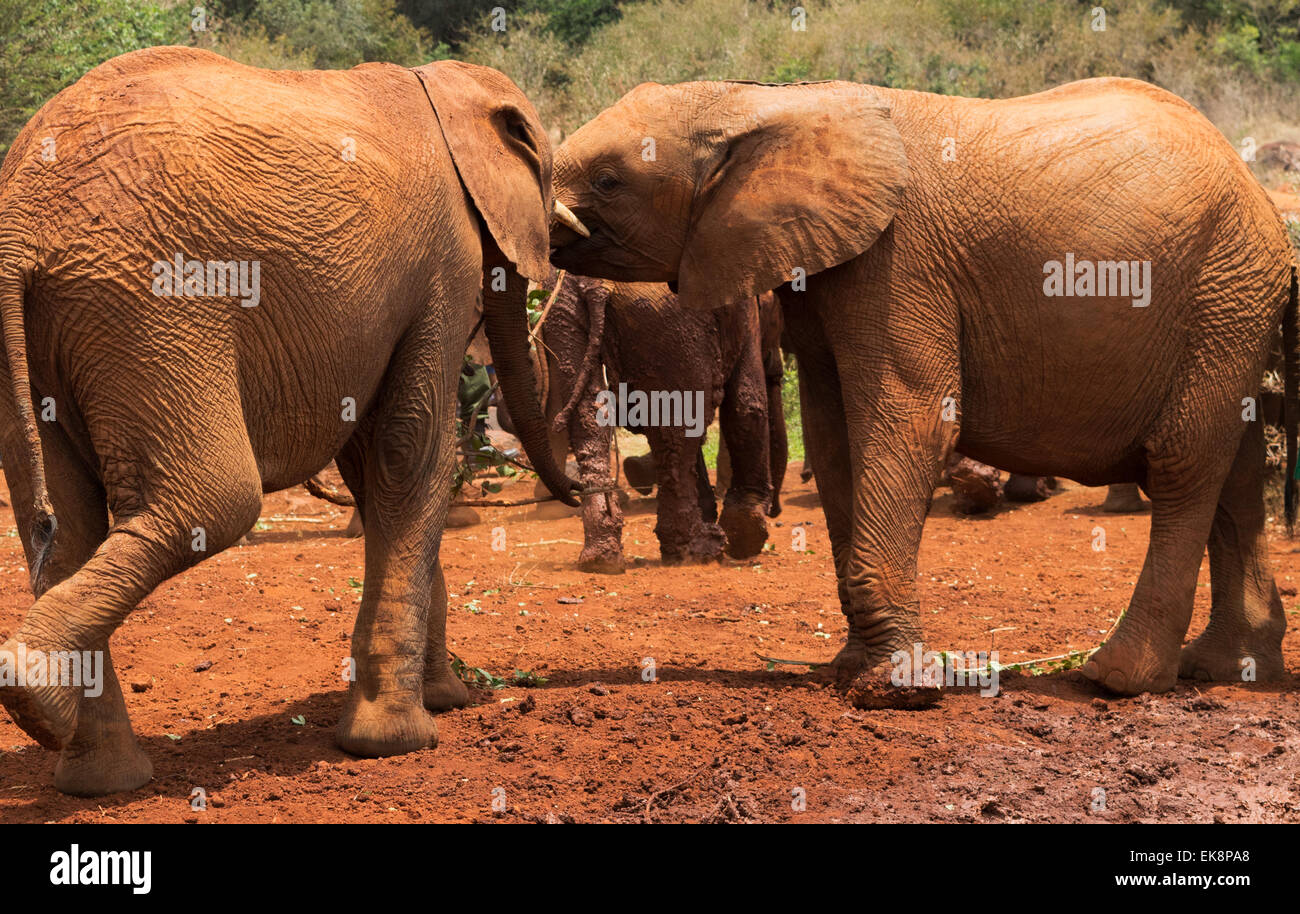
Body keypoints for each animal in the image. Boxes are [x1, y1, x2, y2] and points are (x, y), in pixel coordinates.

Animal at [0, 47, 581, 796]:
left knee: (63, 530)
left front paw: (441, 700)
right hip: (150, 300)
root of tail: (21, 226)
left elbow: (375, 465)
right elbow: (411, 451)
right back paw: (33, 695)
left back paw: (95, 774)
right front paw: (397, 743)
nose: (576, 494)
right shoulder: (444, 264)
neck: (442, 80)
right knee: (211, 502)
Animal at [531, 271, 774, 569]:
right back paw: (695, 551)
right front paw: (746, 536)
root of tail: (595, 285)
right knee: (678, 433)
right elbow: (748, 403)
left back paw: (601, 560)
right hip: (670, 325)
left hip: (563, 311)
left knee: (590, 417)